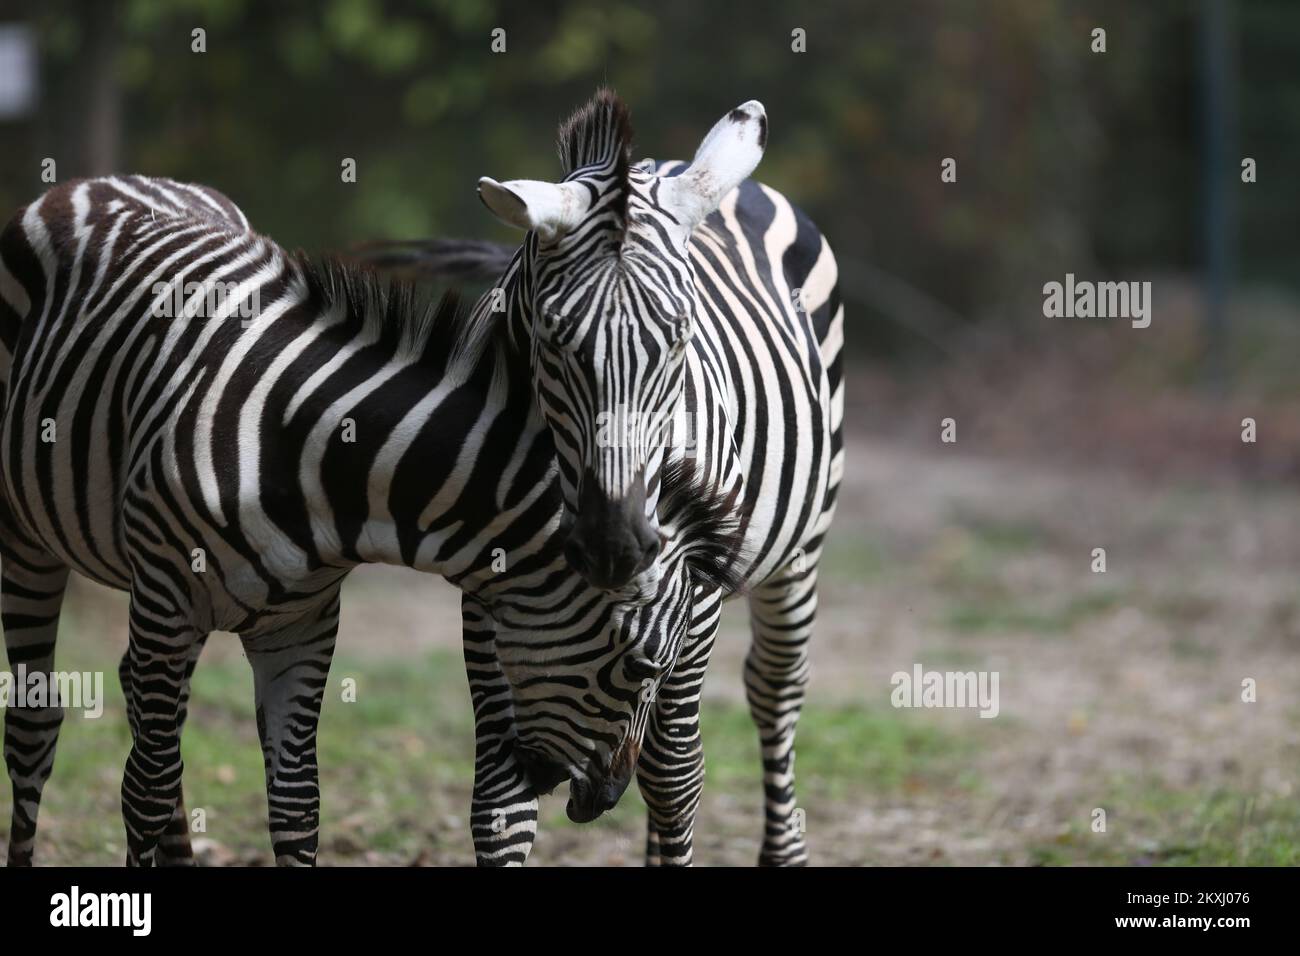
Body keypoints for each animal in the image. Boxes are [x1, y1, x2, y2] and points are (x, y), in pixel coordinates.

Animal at [0, 173, 738, 866]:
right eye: (642, 667)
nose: (604, 800)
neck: (305, 453)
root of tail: (104, 181)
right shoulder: (165, 602)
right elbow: (143, 791)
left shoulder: (301, 622)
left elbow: (297, 800)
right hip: (28, 543)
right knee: (37, 727)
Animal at [367, 89, 846, 864]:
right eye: (554, 340)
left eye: (680, 337)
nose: (615, 547)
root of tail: (669, 164)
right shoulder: (484, 593)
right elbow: (499, 802)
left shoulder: (692, 592)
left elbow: (676, 778)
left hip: (798, 554)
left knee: (771, 697)